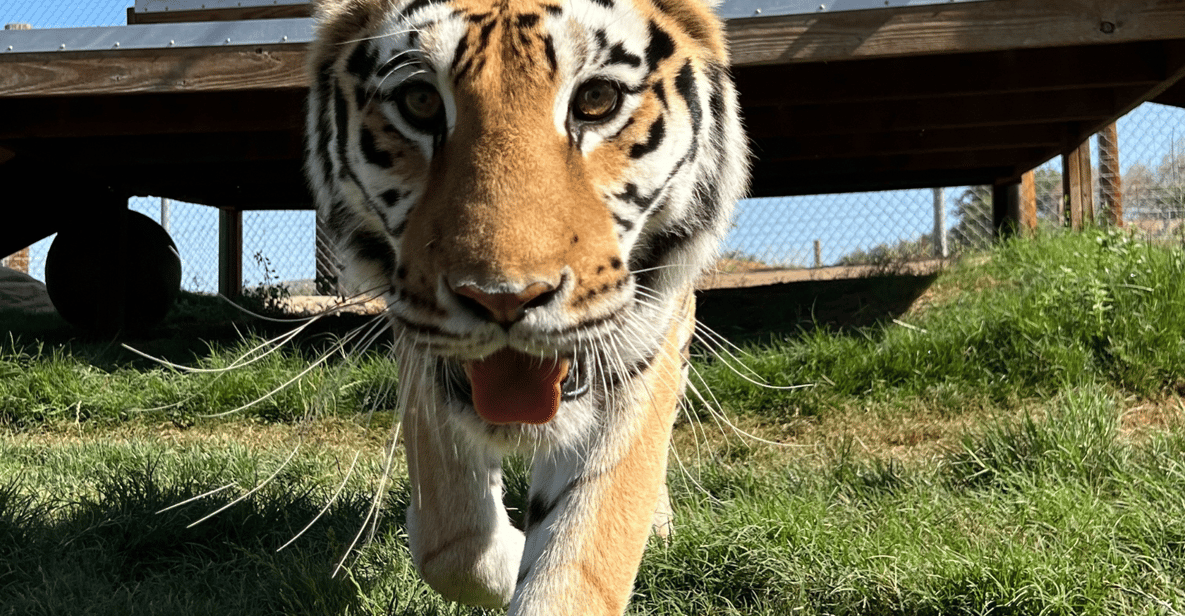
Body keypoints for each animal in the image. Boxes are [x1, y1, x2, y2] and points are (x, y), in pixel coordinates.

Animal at [303, 0, 748, 612]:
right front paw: (507, 552)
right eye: (420, 101)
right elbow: (452, 537)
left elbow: (588, 540)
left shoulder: (642, 343)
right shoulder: (418, 335)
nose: (504, 299)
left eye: (596, 99)